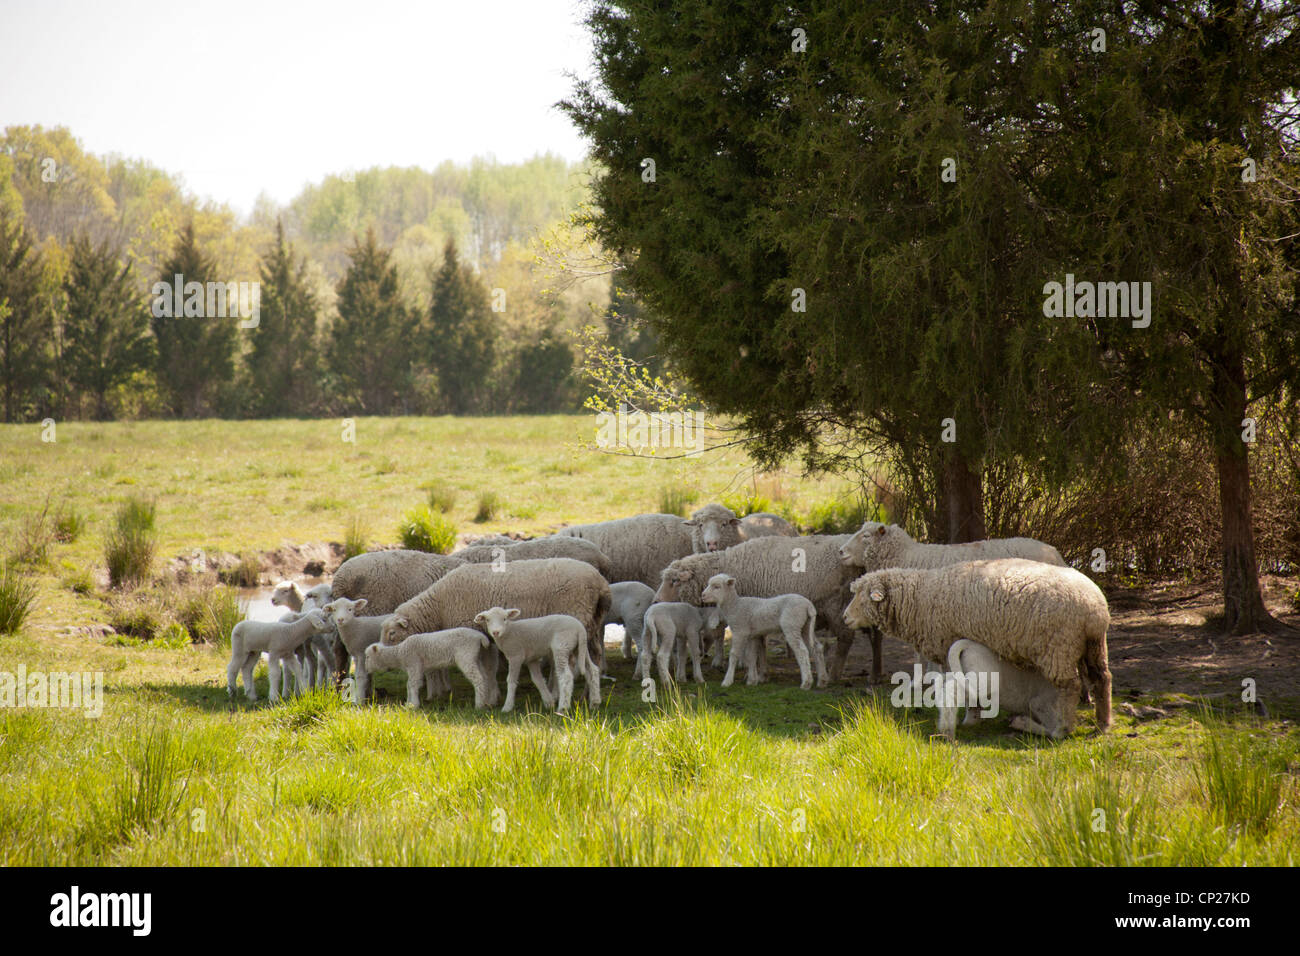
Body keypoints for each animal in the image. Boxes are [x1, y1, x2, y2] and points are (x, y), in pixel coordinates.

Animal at [362, 628, 492, 709]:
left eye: (367, 657)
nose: (366, 670)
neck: (400, 653)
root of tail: (480, 637)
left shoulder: (414, 664)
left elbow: (412, 684)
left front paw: (414, 705)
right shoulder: (415, 668)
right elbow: (409, 685)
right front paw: (409, 703)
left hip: (466, 656)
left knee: (478, 679)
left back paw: (479, 705)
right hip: (476, 657)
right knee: (485, 677)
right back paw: (486, 701)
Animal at [381, 557, 612, 671]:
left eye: (392, 634)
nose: (383, 656)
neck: (438, 607)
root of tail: (600, 582)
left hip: (576, 615)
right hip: (592, 623)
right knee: (596, 655)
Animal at [656, 534, 864, 683]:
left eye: (674, 581)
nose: (656, 600)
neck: (729, 565)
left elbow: (753, 649)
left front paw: (752, 674)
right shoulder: (758, 618)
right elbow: (761, 646)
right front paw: (762, 674)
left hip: (839, 605)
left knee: (845, 639)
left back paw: (835, 674)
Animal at [936, 639, 1077, 740]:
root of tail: (968, 644)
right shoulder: (1041, 703)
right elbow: (1057, 730)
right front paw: (1022, 723)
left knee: (945, 684)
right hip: (982, 679)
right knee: (952, 690)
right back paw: (947, 730)